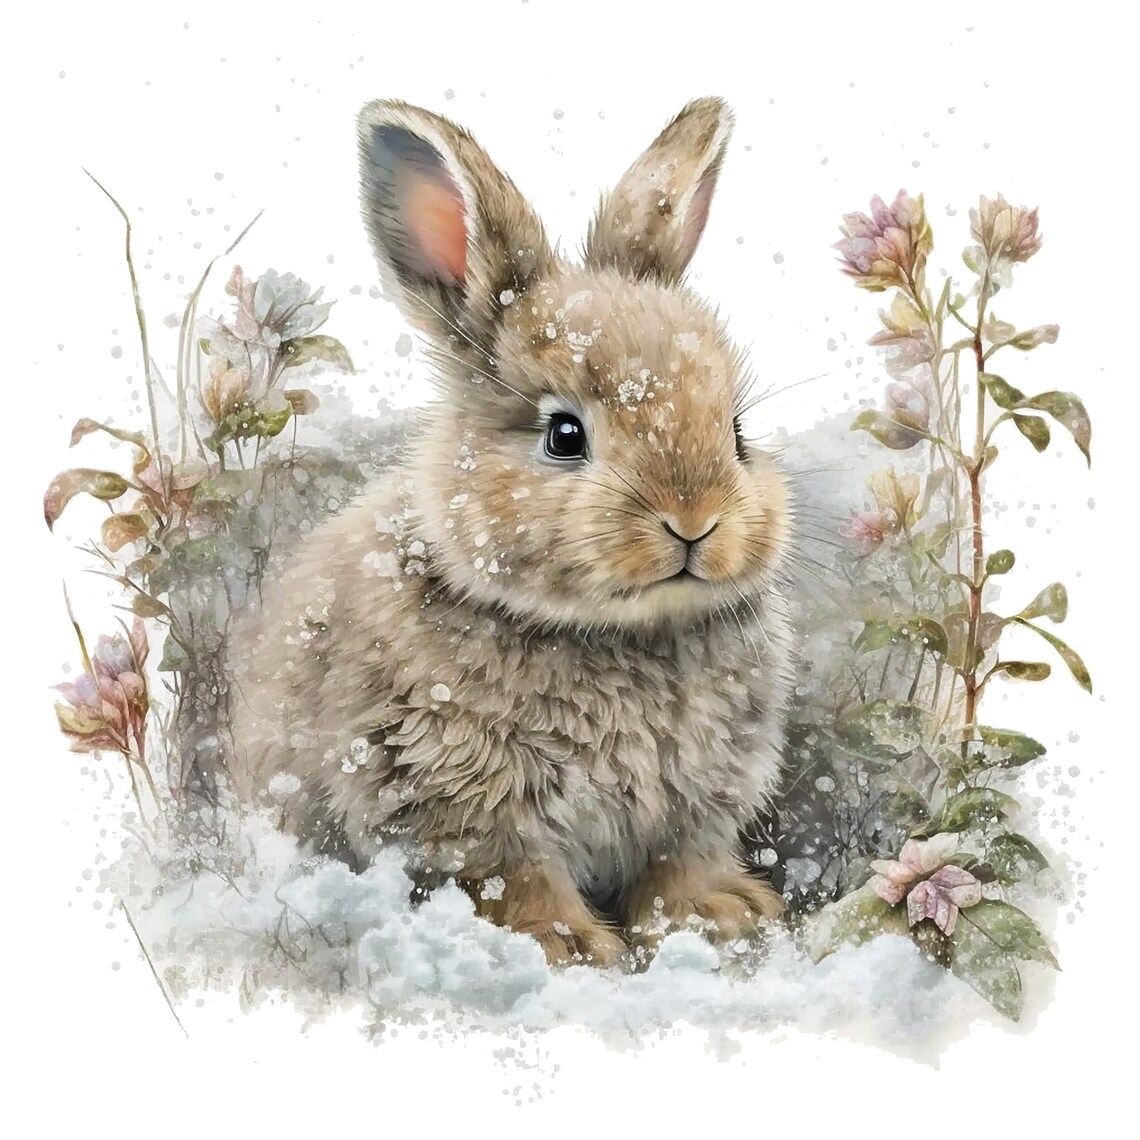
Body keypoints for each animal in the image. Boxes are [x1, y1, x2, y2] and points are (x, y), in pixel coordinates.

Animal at [227, 96, 794, 967]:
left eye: (736, 432)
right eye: (564, 435)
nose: (695, 520)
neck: (617, 635)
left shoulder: (695, 805)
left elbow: (678, 868)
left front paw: (721, 917)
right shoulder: (456, 800)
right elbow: (513, 877)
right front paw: (565, 946)